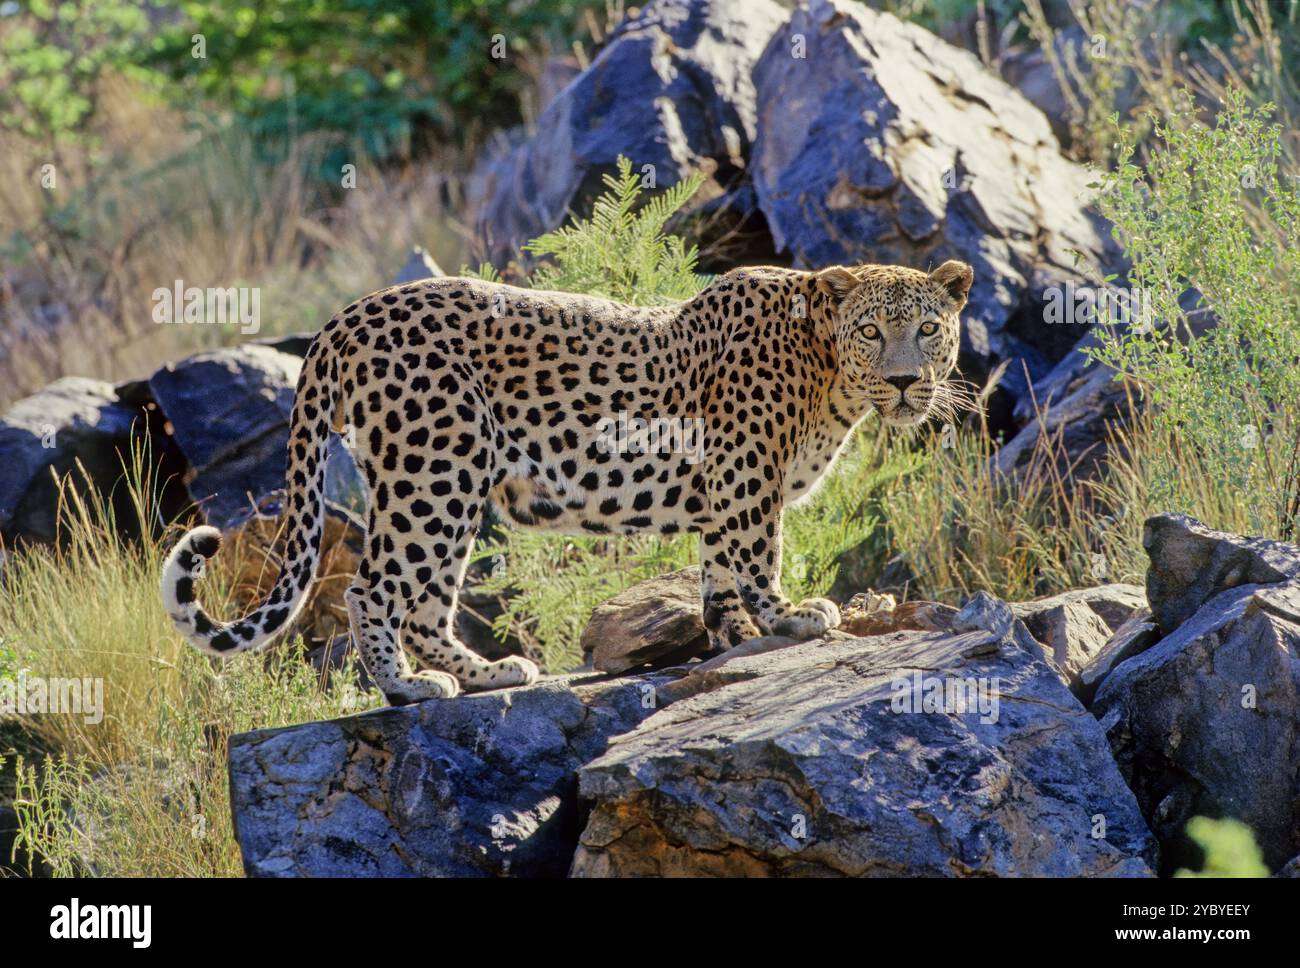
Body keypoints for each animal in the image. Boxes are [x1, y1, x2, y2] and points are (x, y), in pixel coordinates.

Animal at [161, 259, 973, 706]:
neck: (828, 373)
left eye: (929, 329)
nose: (907, 382)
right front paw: (793, 616)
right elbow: (756, 555)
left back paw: (491, 673)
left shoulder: (724, 489)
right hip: (436, 469)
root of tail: (347, 314)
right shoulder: (746, 475)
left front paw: (733, 640)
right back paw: (408, 688)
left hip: (448, 481)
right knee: (373, 590)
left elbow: (718, 572)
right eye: (872, 331)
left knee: (426, 603)